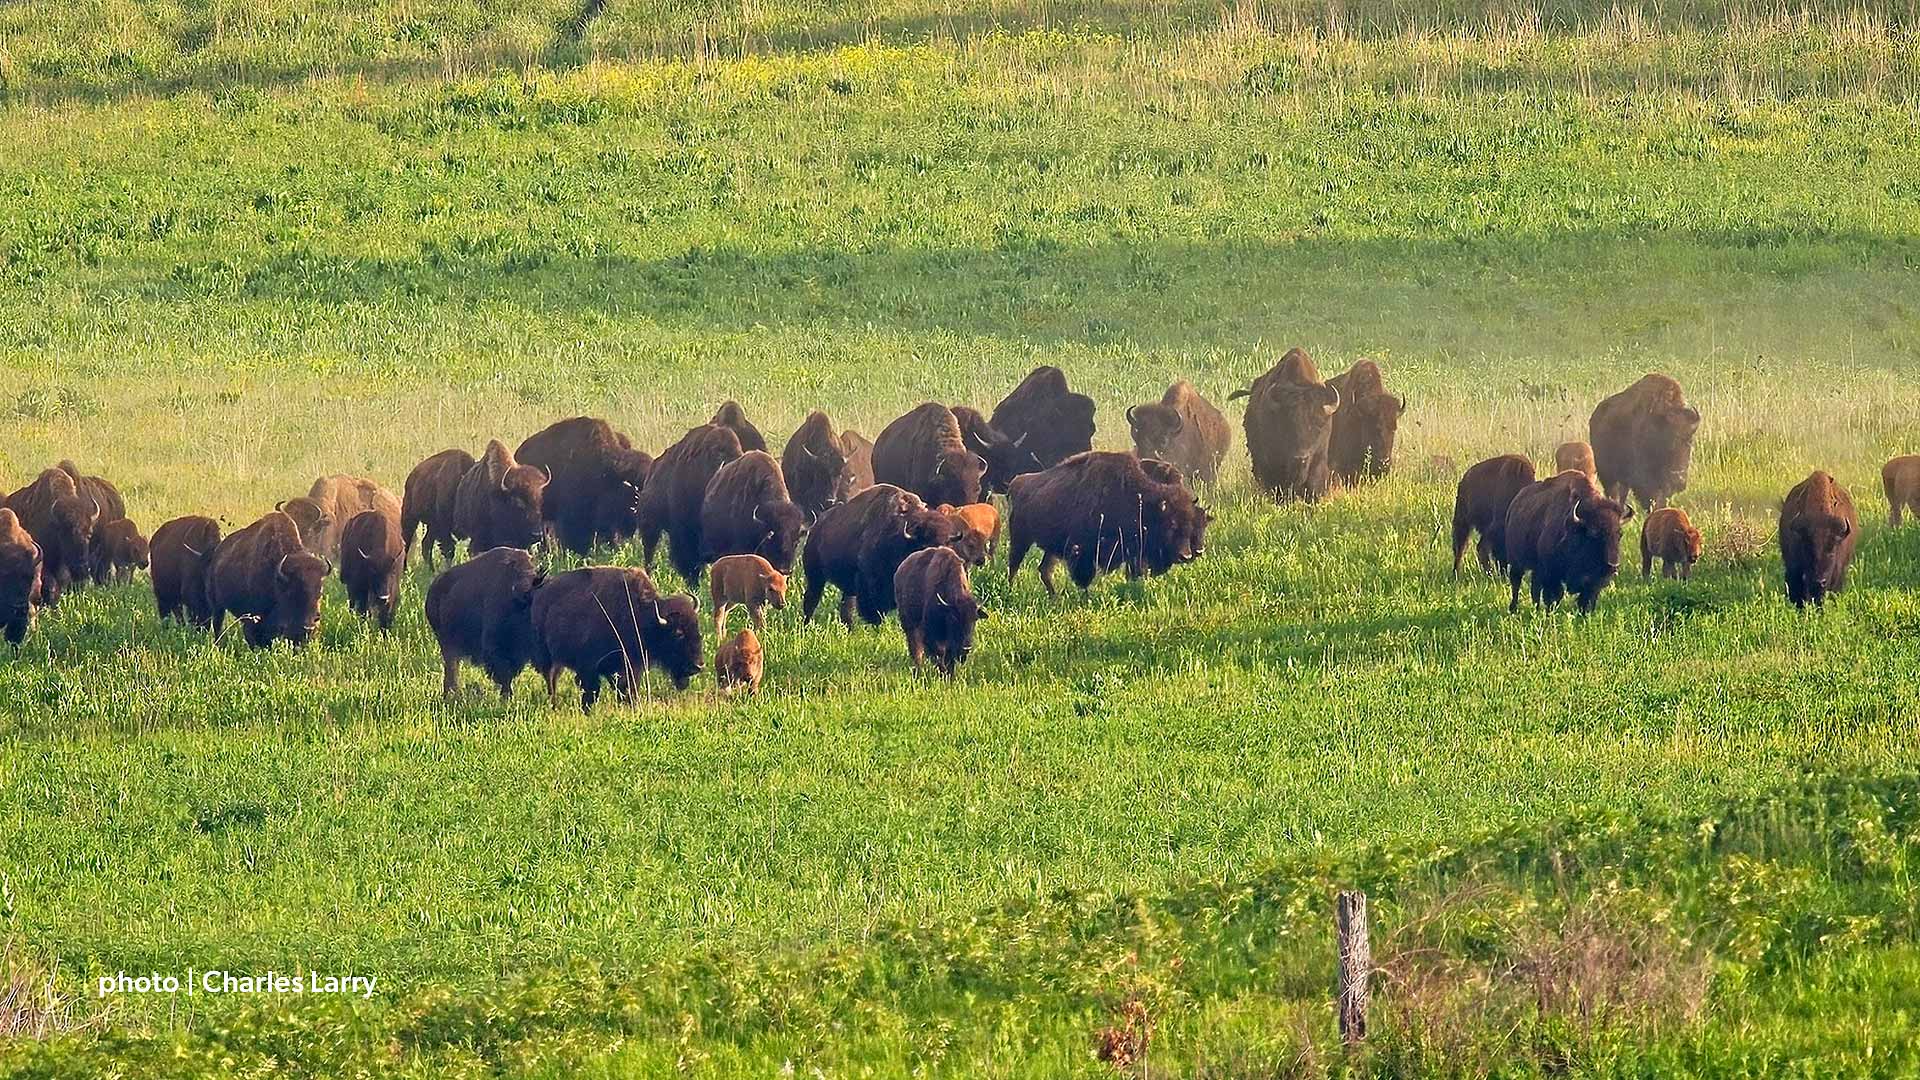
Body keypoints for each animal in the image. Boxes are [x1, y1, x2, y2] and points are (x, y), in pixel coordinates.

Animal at [206, 510, 330, 648]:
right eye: (293, 593)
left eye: (320, 592)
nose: (309, 627)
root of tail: (217, 552)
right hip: (217, 605)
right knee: (217, 624)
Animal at [425, 545, 545, 698]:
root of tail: (434, 587)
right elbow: (504, 673)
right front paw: (506, 696)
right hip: (448, 643)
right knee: (452, 666)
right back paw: (452, 693)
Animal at [531, 566, 704, 710]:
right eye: (678, 633)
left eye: (697, 628)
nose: (698, 666)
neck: (641, 615)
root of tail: (540, 594)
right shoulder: (591, 667)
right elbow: (592, 691)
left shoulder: (631, 667)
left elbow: (626, 690)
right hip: (548, 658)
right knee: (551, 680)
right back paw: (553, 705)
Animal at [1502, 470, 1633, 614]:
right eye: (1593, 533)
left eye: (1620, 534)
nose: (1613, 565)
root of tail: (1514, 503)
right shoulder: (1551, 574)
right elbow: (1553, 596)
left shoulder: (1593, 583)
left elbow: (1586, 599)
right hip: (1516, 562)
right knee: (1516, 583)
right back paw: (1513, 609)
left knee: (1534, 588)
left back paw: (1535, 609)